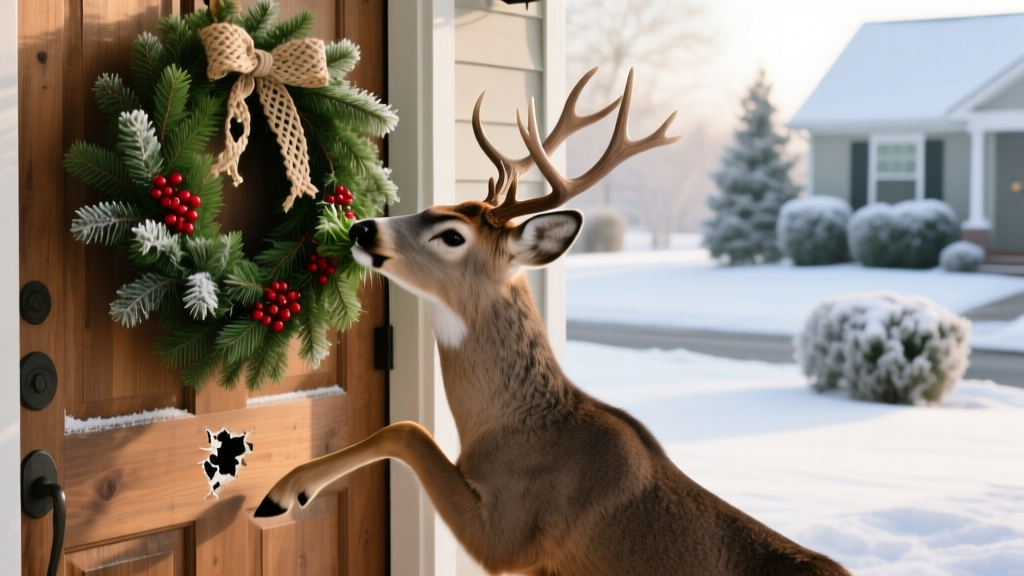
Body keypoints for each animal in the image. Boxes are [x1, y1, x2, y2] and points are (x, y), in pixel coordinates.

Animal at [255, 68, 851, 576]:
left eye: (451, 235)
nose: (361, 229)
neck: (517, 427)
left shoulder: (509, 533)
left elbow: (408, 429)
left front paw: (282, 493)